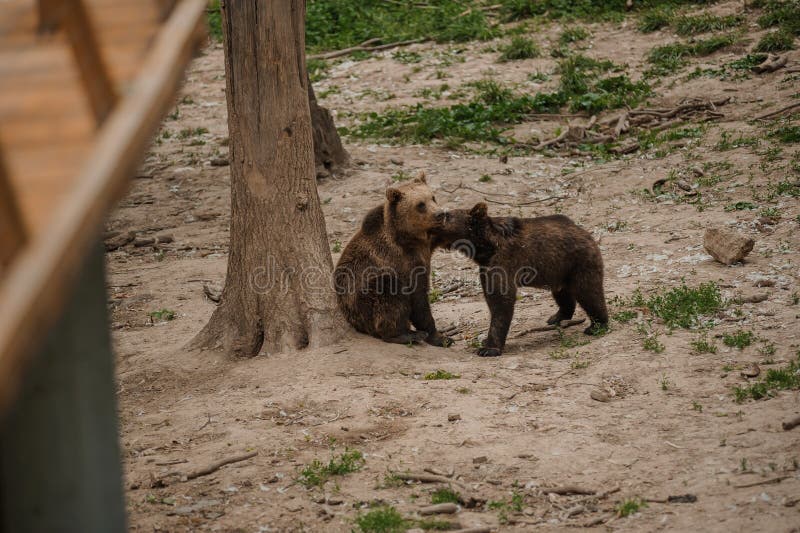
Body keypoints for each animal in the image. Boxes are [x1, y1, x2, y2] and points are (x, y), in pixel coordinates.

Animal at [334, 174, 451, 346]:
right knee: (389, 292)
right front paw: (440, 337)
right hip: (363, 301)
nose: (440, 214)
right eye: (420, 204)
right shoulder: (404, 262)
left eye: (433, 197)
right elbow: (419, 299)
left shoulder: (428, 243)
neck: (412, 238)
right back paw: (407, 334)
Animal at [432, 202, 608, 357]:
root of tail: (584, 231)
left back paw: (597, 325)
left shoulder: (503, 262)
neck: (485, 249)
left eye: (447, 215)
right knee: (562, 293)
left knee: (589, 293)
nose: (437, 214)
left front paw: (488, 348)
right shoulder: (486, 268)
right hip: (559, 269)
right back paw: (558, 316)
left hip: (579, 262)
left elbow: (501, 302)